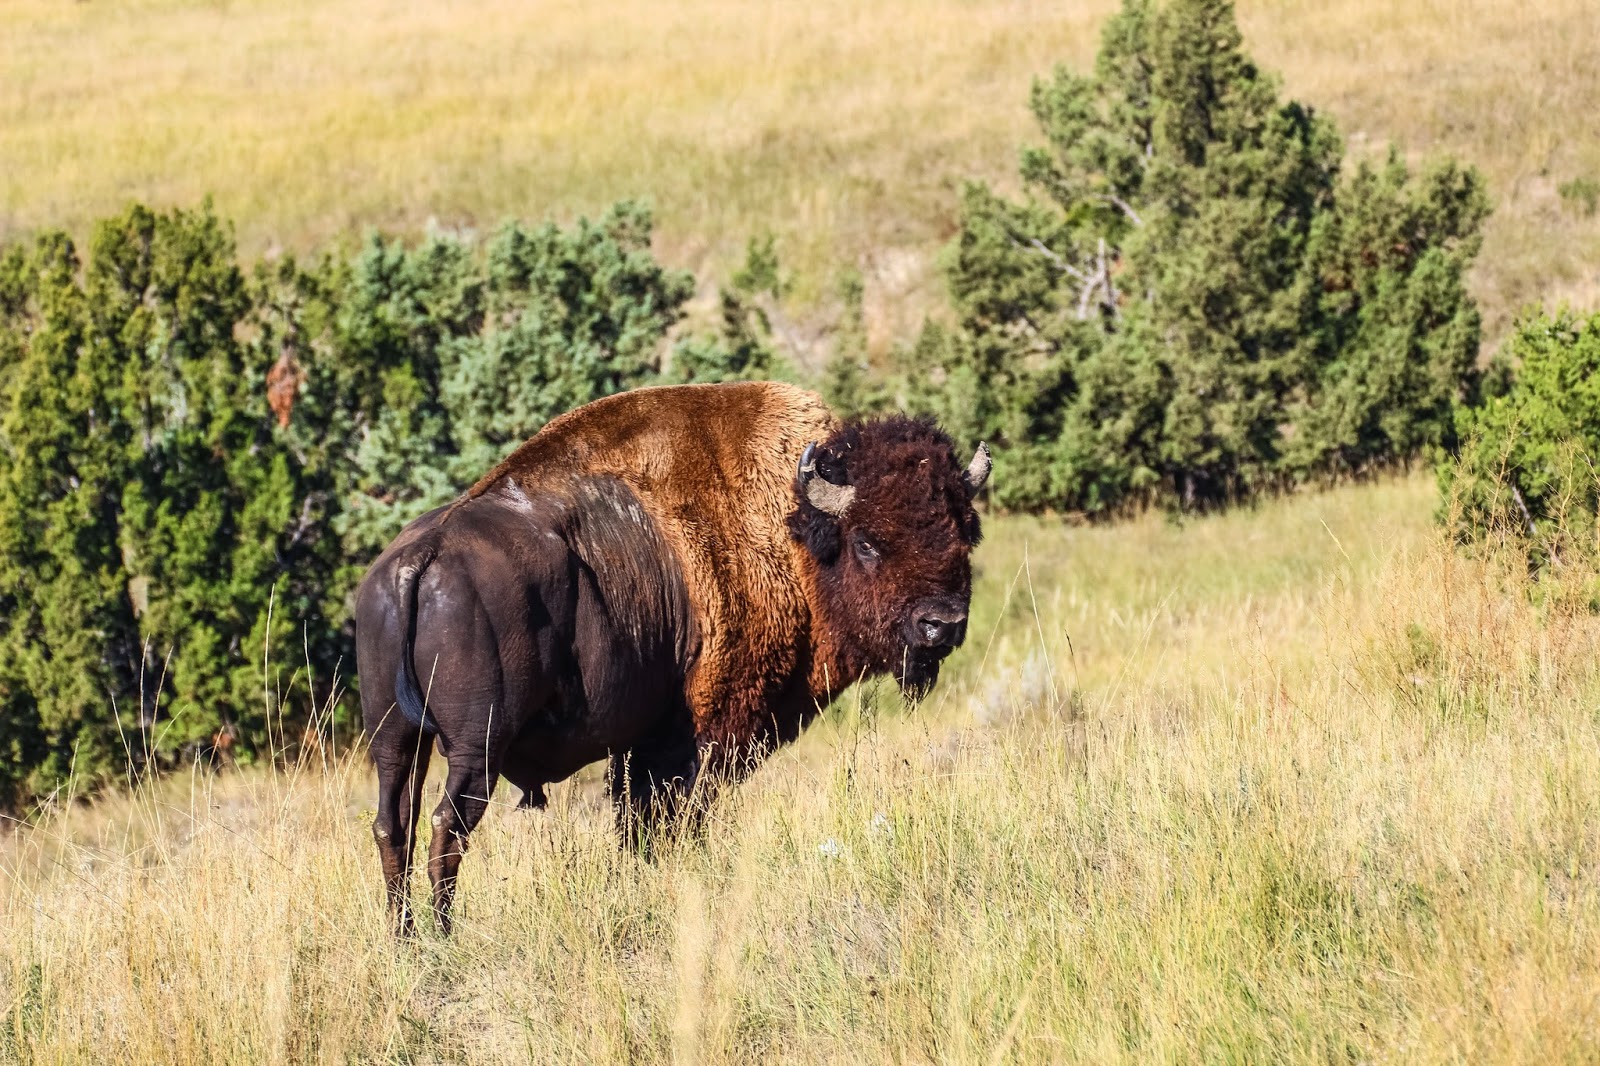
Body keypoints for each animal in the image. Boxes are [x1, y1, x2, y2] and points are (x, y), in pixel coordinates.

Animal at [356, 381, 989, 934]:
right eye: (867, 542)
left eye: (963, 531)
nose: (941, 625)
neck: (794, 534)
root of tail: (421, 555)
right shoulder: (698, 734)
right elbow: (663, 819)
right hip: (476, 746)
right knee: (447, 824)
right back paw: (442, 935)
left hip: (394, 737)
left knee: (394, 823)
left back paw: (404, 937)